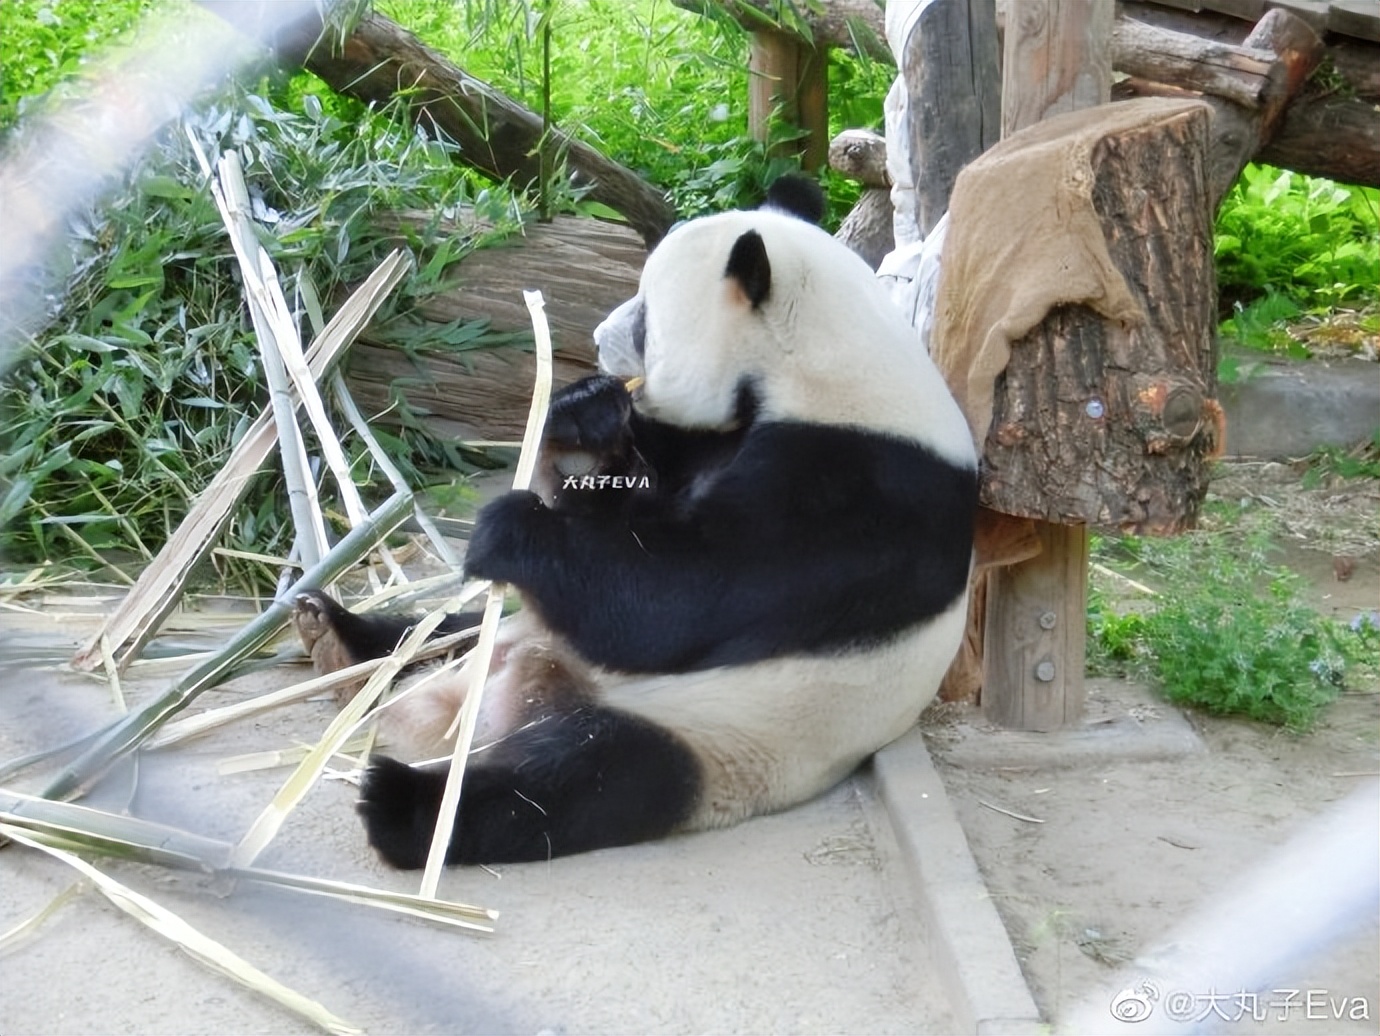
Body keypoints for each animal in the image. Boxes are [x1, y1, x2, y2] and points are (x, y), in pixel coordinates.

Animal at [292, 177, 978, 868]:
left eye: (647, 320)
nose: (598, 337)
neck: (833, 362)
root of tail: (472, 705)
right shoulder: (712, 445)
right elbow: (625, 523)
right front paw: (581, 416)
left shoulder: (859, 497)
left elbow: (675, 601)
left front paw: (509, 527)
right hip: (519, 632)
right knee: (441, 631)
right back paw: (335, 635)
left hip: (719, 732)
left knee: (583, 776)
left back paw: (402, 804)